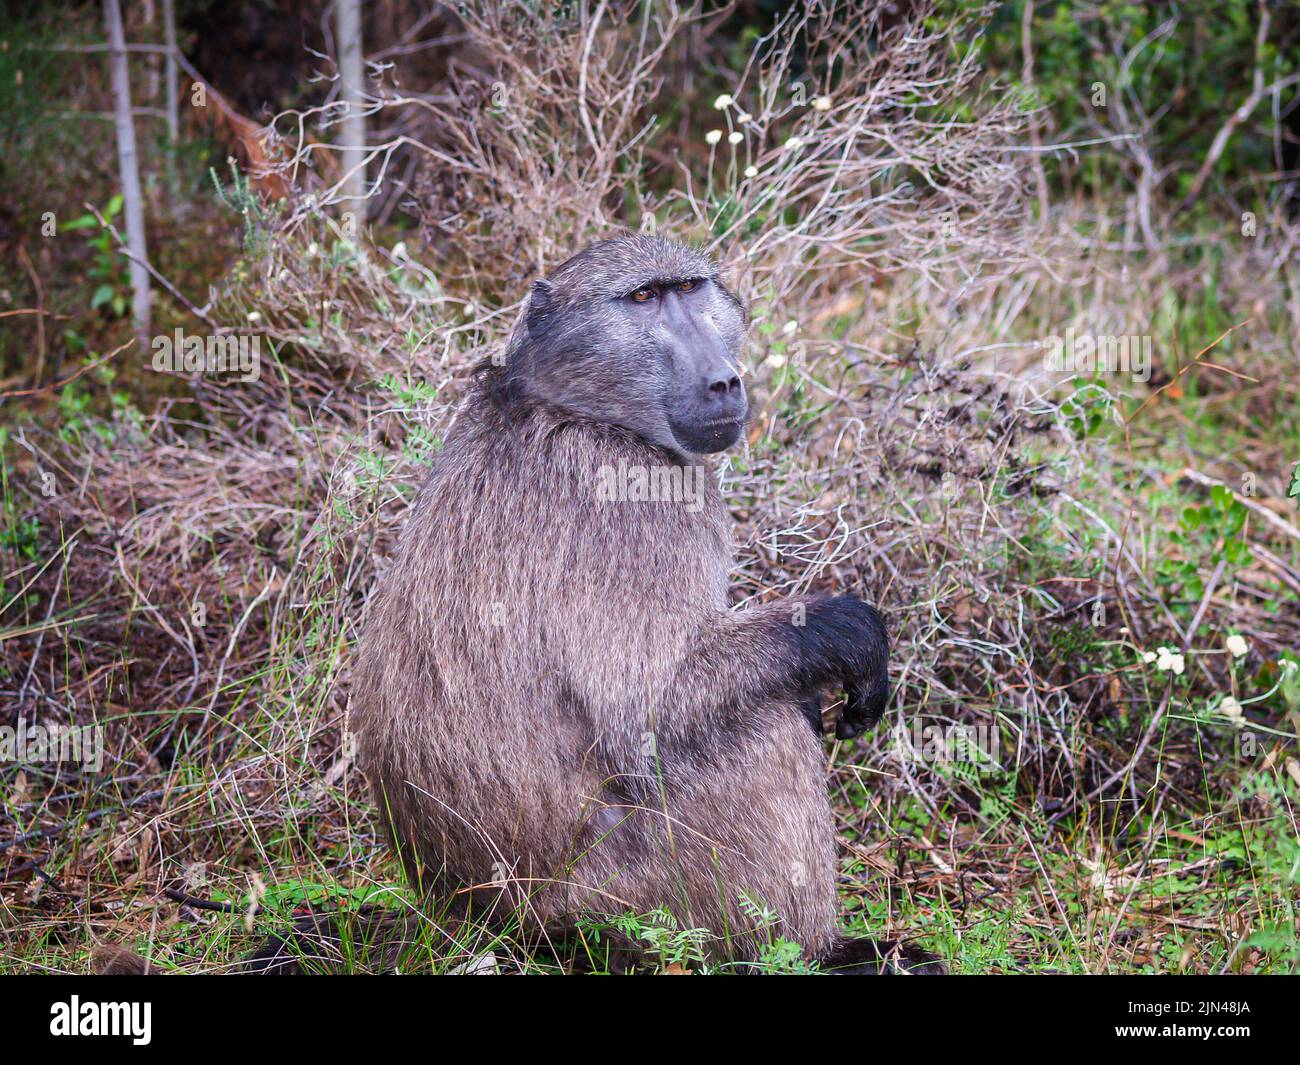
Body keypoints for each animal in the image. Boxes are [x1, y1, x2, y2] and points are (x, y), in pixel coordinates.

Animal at [348, 233, 942, 974]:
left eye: (689, 289)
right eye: (642, 298)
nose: (723, 381)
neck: (566, 407)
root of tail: (479, 913)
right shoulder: (640, 505)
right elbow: (647, 704)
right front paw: (849, 637)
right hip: (625, 899)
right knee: (758, 731)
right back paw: (825, 954)